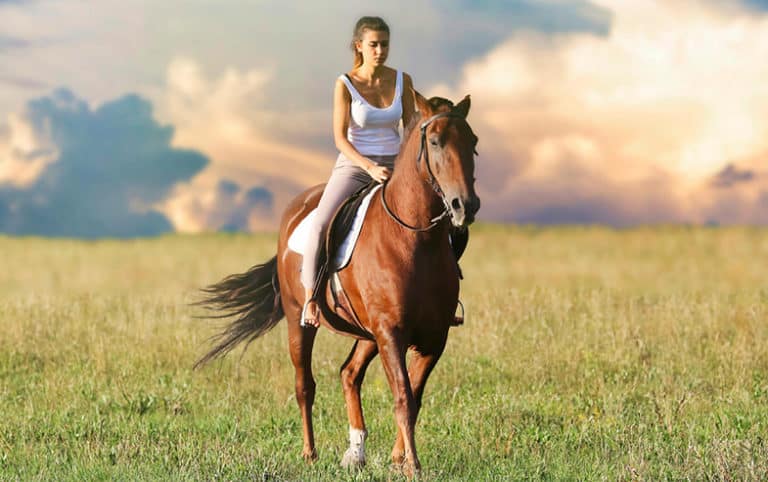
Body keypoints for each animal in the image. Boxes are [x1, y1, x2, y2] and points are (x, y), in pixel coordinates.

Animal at [195, 92, 480, 476]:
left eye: (473, 142)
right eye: (434, 142)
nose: (465, 205)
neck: (415, 240)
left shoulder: (433, 338)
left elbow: (414, 397)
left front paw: (399, 460)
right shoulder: (391, 333)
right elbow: (403, 397)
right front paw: (413, 466)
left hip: (366, 333)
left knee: (349, 374)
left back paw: (356, 453)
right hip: (300, 321)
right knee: (305, 384)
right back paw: (309, 453)